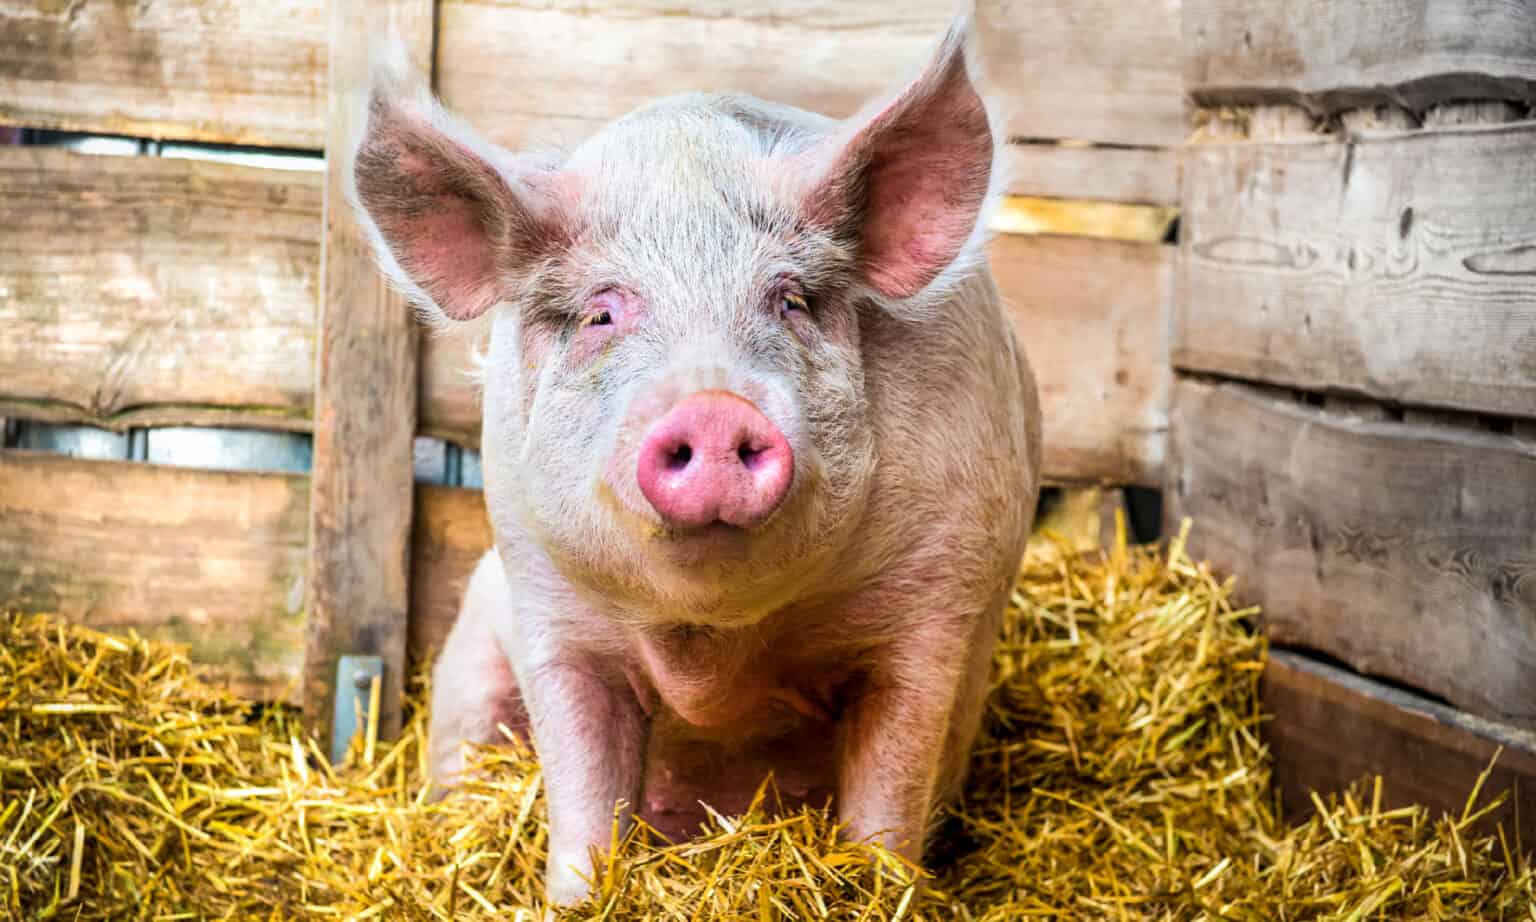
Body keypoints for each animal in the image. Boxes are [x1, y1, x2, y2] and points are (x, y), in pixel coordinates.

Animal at [349, 15, 1041, 908]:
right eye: (602, 313)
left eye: (791, 301)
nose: (713, 405)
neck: (715, 646)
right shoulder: (546, 602)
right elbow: (582, 793)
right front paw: (577, 899)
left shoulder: (937, 604)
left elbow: (889, 796)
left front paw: (874, 887)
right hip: (471, 641)